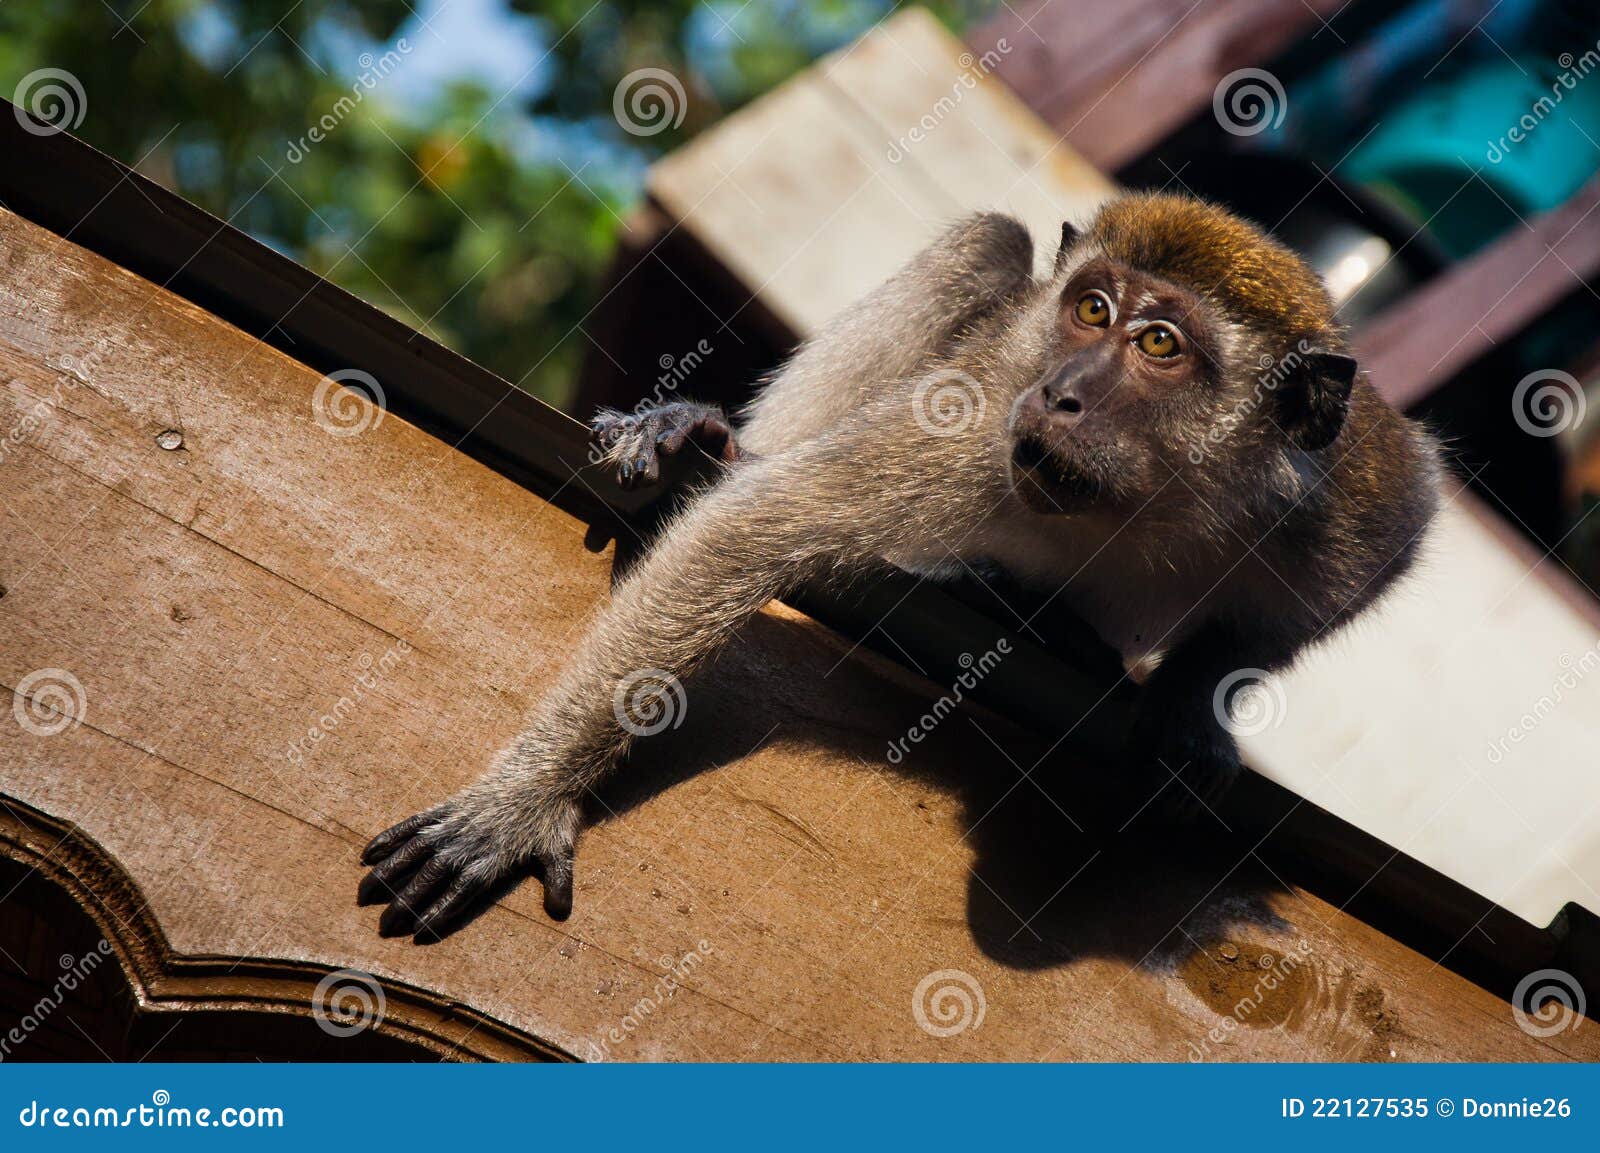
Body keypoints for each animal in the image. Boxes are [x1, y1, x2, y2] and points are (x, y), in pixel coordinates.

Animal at [359, 193, 1442, 938]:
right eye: (1092, 311)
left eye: (1161, 343)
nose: (1062, 392)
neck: (1146, 498)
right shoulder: (970, 422)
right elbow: (756, 527)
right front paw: (523, 802)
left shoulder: (1345, 505)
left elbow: (1388, 539)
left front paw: (1192, 702)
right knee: (991, 245)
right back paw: (709, 439)